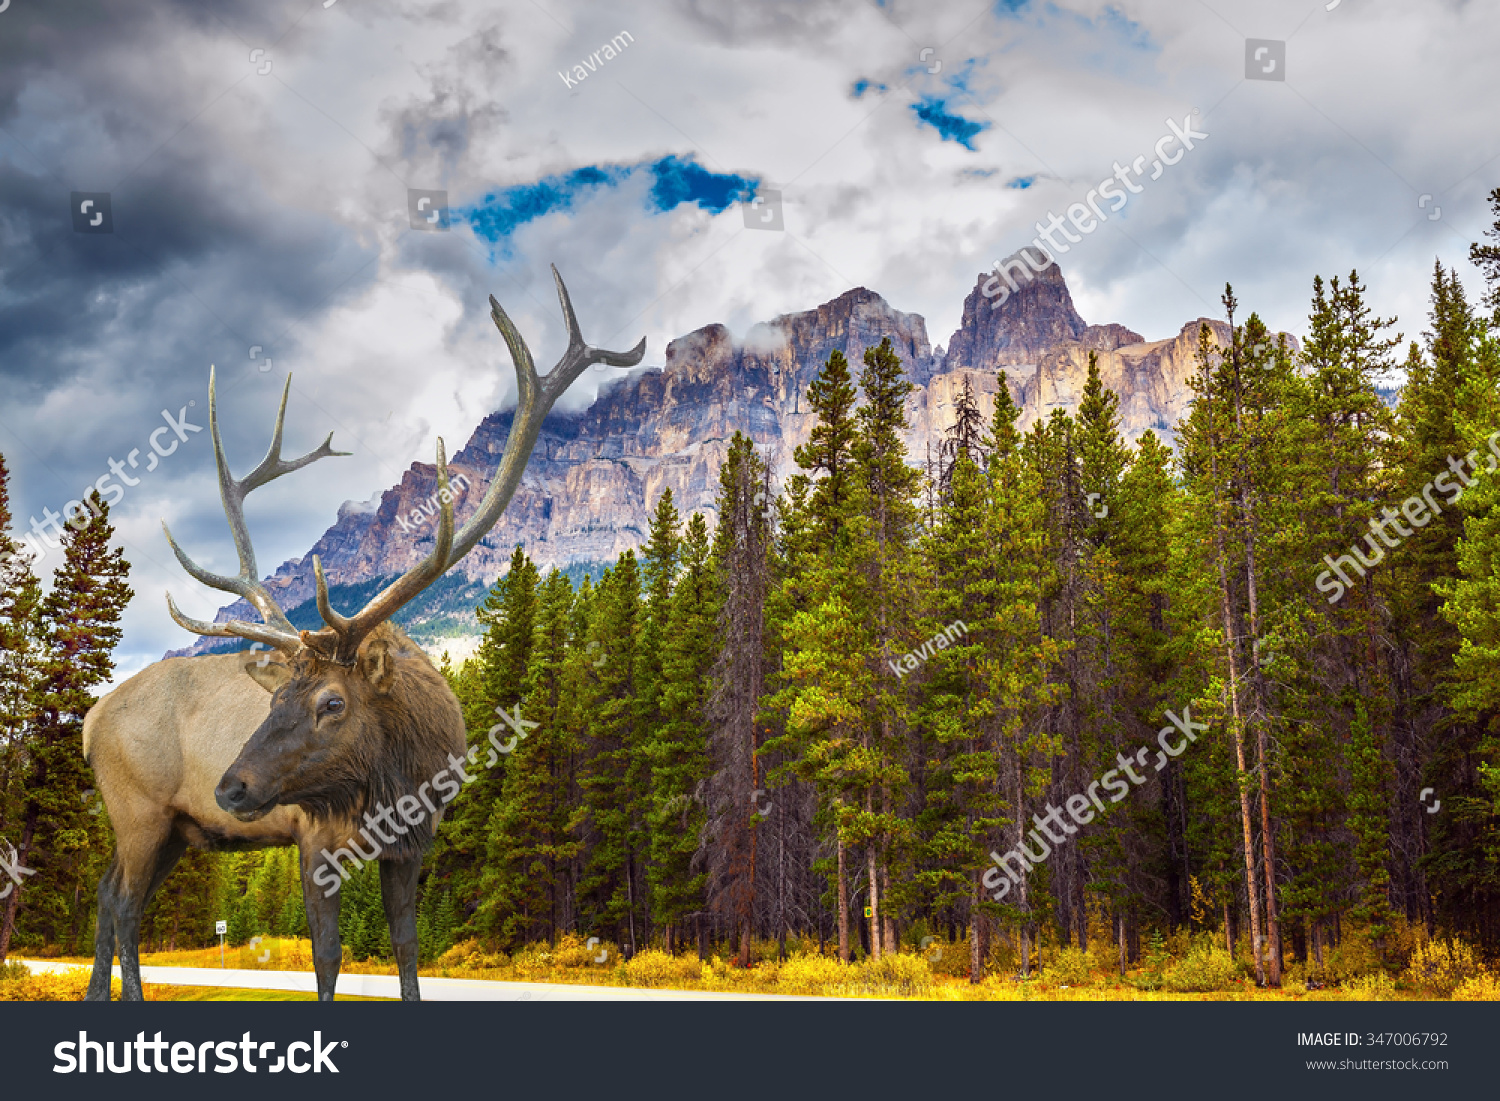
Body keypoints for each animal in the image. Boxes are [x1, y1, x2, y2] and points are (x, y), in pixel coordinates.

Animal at [81, 268, 644, 1001]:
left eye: (332, 702)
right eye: (273, 700)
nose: (231, 788)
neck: (397, 776)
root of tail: (89, 720)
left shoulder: (414, 843)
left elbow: (407, 946)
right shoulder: (313, 835)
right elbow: (328, 955)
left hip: (176, 827)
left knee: (107, 893)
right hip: (139, 808)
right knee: (124, 903)